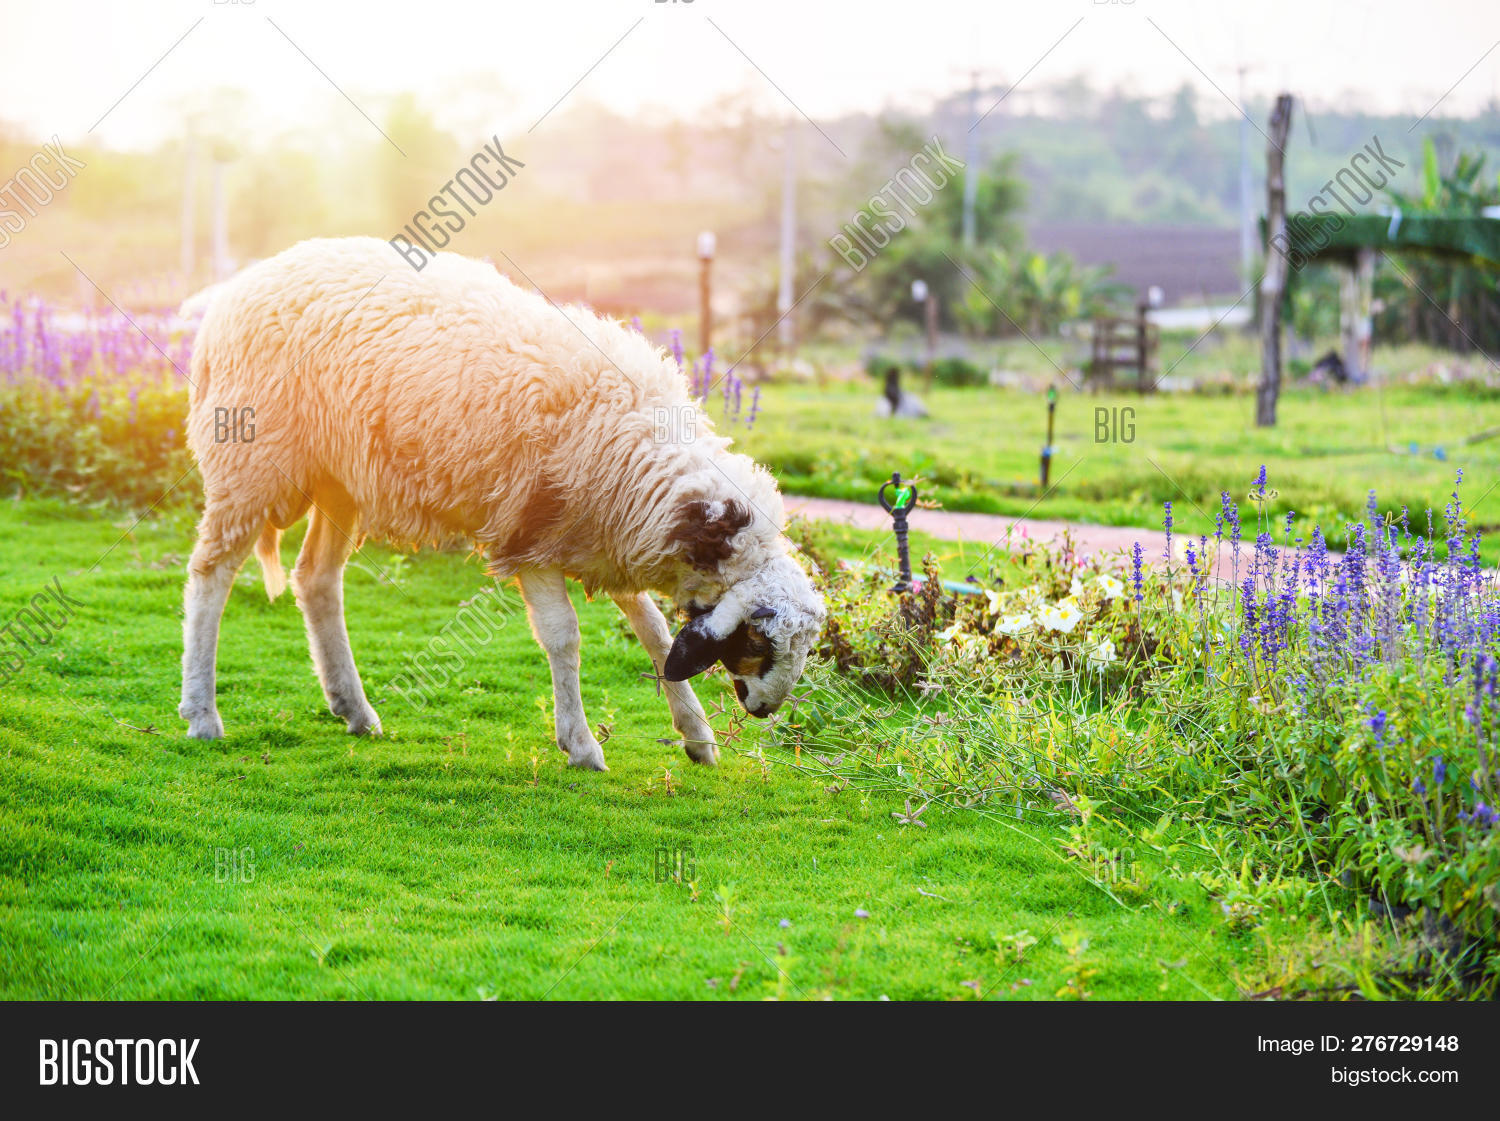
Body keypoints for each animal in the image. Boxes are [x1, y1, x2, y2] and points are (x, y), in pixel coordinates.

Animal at [178, 236, 824, 770]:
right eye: (758, 641)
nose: (765, 711)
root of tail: (241, 283)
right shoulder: (531, 539)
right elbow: (564, 637)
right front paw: (580, 744)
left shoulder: (607, 536)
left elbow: (658, 634)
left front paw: (696, 735)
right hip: (250, 460)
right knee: (211, 573)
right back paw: (202, 713)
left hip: (342, 478)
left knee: (315, 578)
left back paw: (354, 710)